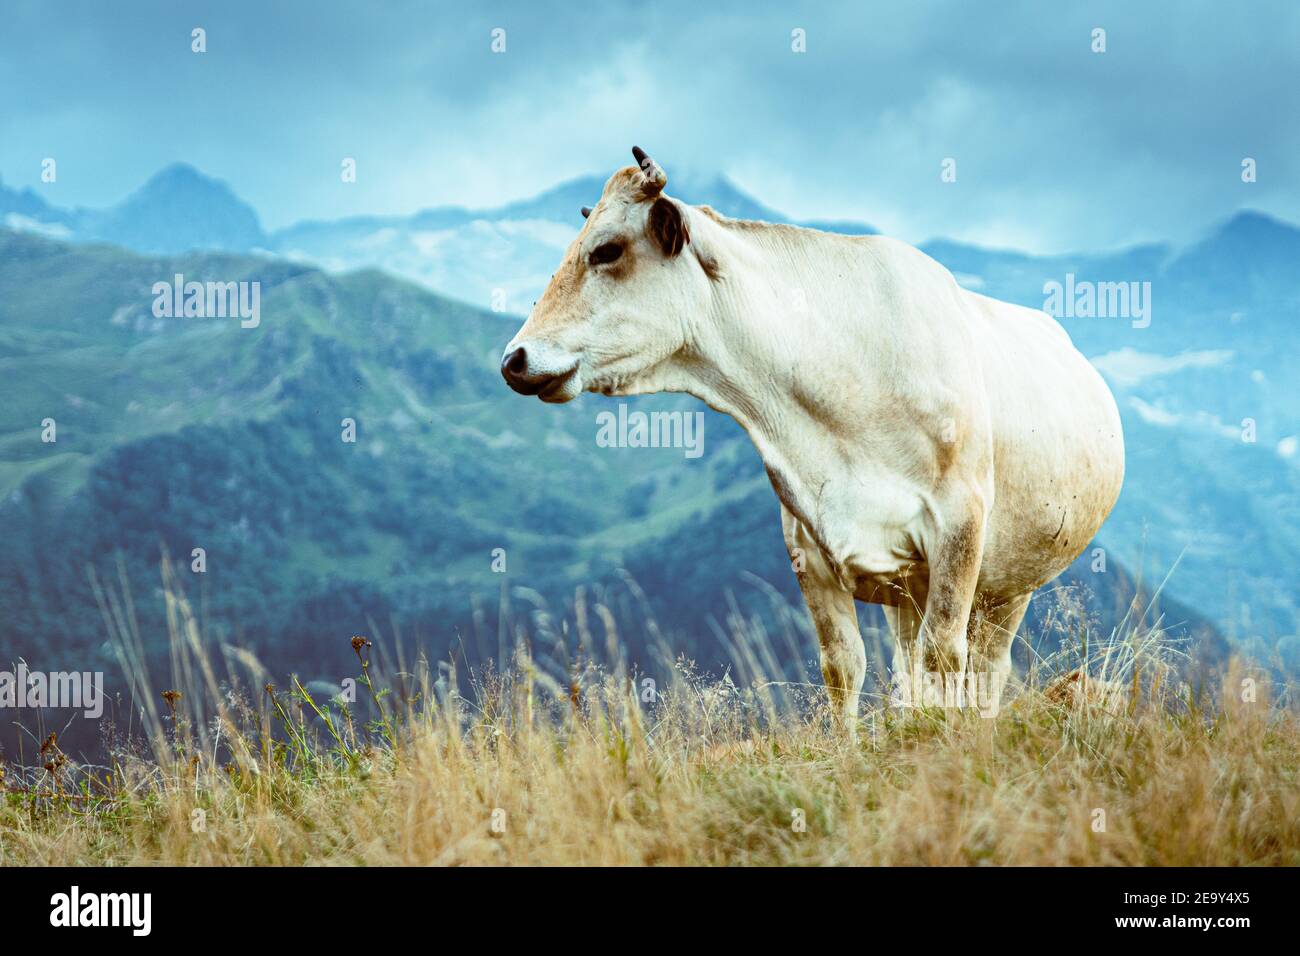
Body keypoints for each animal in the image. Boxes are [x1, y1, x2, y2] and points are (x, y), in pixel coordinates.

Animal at [501, 147, 1124, 732]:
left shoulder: (959, 523)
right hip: (910, 589)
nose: (514, 360)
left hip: (1011, 582)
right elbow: (842, 666)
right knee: (909, 663)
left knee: (984, 667)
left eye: (606, 249)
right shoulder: (806, 543)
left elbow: (945, 656)